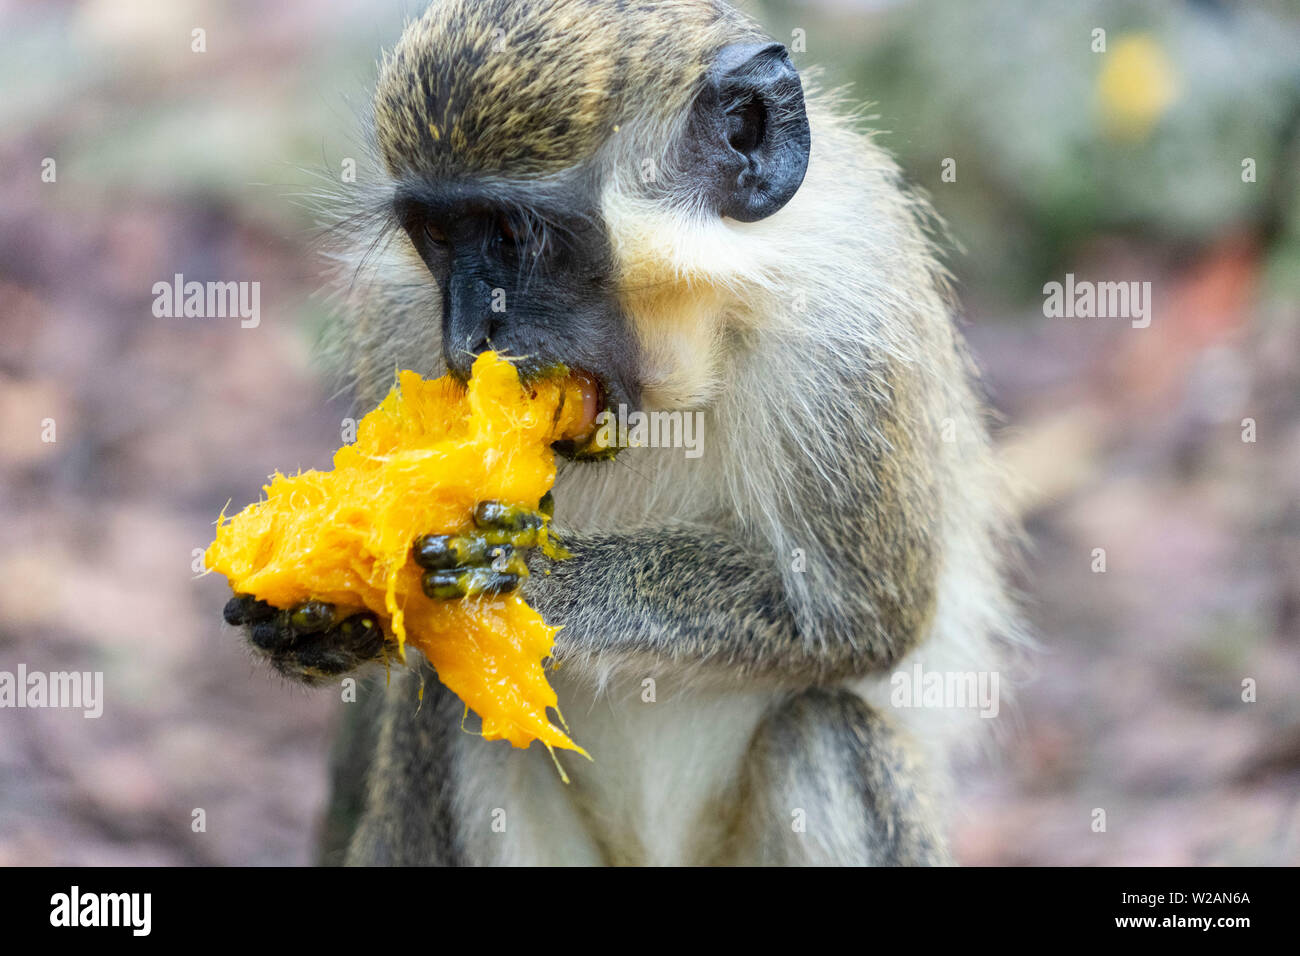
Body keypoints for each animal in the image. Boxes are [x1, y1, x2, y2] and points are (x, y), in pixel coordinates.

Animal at [223, 0, 1023, 866]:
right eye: (438, 235)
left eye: (513, 235)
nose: (468, 339)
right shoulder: (397, 324)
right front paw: (320, 619)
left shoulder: (850, 328)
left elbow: (865, 618)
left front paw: (540, 576)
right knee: (443, 704)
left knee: (824, 726)